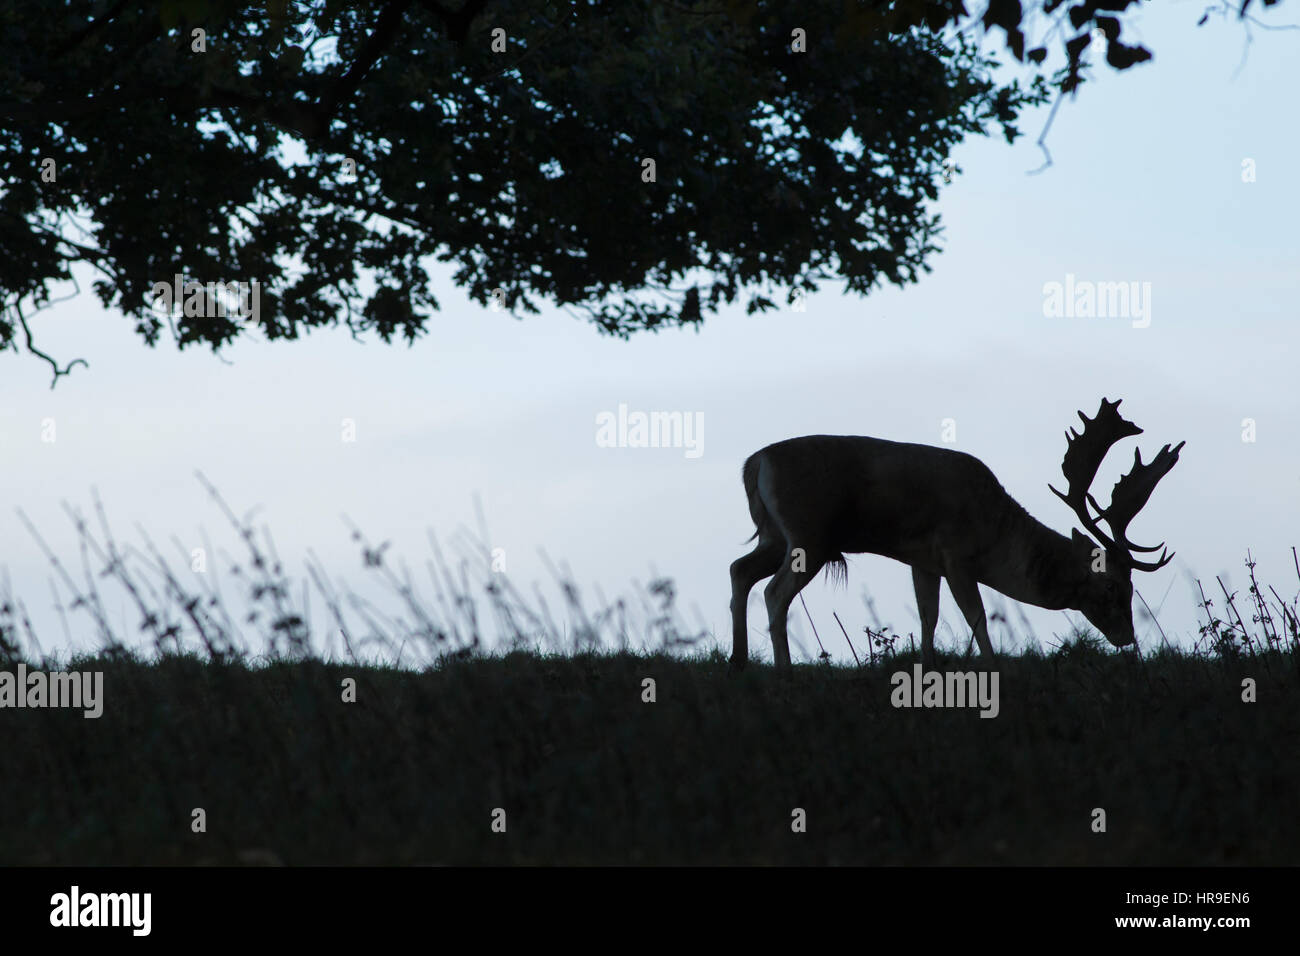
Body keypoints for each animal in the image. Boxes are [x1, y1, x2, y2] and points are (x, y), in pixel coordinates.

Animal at [729, 399, 1184, 672]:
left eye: (1131, 588)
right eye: (1110, 586)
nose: (1127, 637)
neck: (996, 533)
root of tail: (755, 463)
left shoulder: (923, 560)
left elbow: (928, 615)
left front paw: (928, 667)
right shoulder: (957, 554)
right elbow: (975, 614)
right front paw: (993, 666)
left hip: (775, 536)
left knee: (739, 570)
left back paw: (739, 660)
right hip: (810, 534)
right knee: (774, 591)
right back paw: (783, 669)